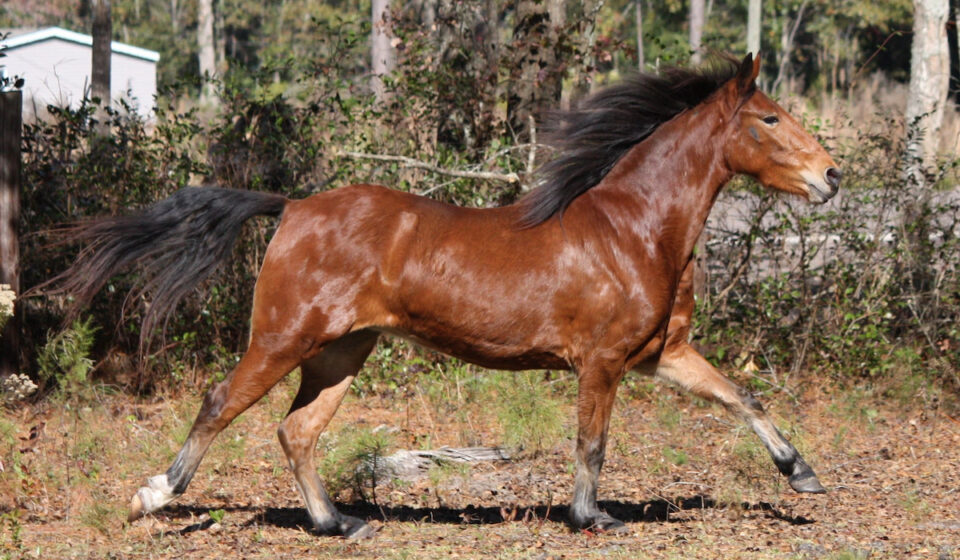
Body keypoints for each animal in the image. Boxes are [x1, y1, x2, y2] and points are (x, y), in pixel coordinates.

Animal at [45, 53, 839, 538]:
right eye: (769, 118)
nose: (832, 176)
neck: (632, 229)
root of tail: (293, 206)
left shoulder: (662, 354)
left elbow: (741, 397)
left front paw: (802, 476)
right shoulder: (604, 361)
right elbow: (593, 442)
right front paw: (593, 518)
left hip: (341, 352)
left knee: (297, 432)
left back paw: (339, 523)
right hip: (283, 338)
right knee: (219, 406)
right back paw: (154, 495)